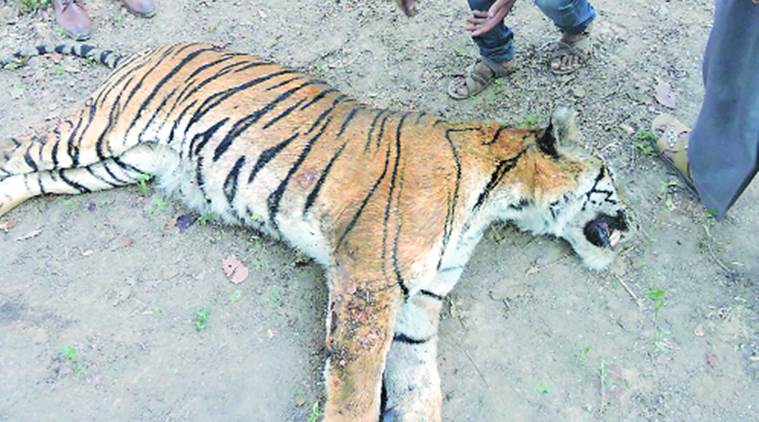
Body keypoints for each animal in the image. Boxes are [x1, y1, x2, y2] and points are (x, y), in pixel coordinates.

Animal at [0, 42, 635, 421]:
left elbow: (420, 389)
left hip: (118, 164)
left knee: (33, 179)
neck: (496, 199)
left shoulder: (419, 306)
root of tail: (155, 46)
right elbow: (355, 392)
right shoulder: (368, 288)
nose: (633, 225)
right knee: (16, 151)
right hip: (97, 133)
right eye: (611, 178)